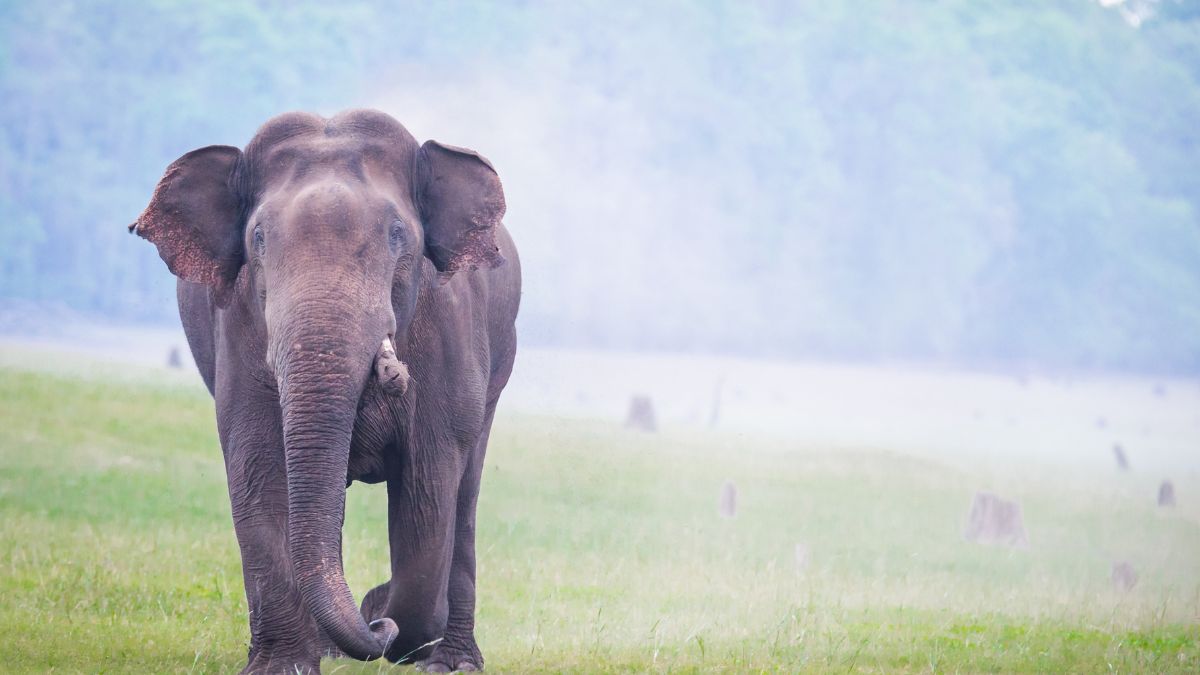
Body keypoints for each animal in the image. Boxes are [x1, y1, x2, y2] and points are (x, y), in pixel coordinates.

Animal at [129, 109, 520, 673]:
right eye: (258, 238)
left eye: (398, 235)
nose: (375, 618)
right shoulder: (239, 327)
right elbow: (256, 467)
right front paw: (283, 666)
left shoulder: (451, 330)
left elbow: (429, 483)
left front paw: (388, 619)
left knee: (464, 495)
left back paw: (451, 662)